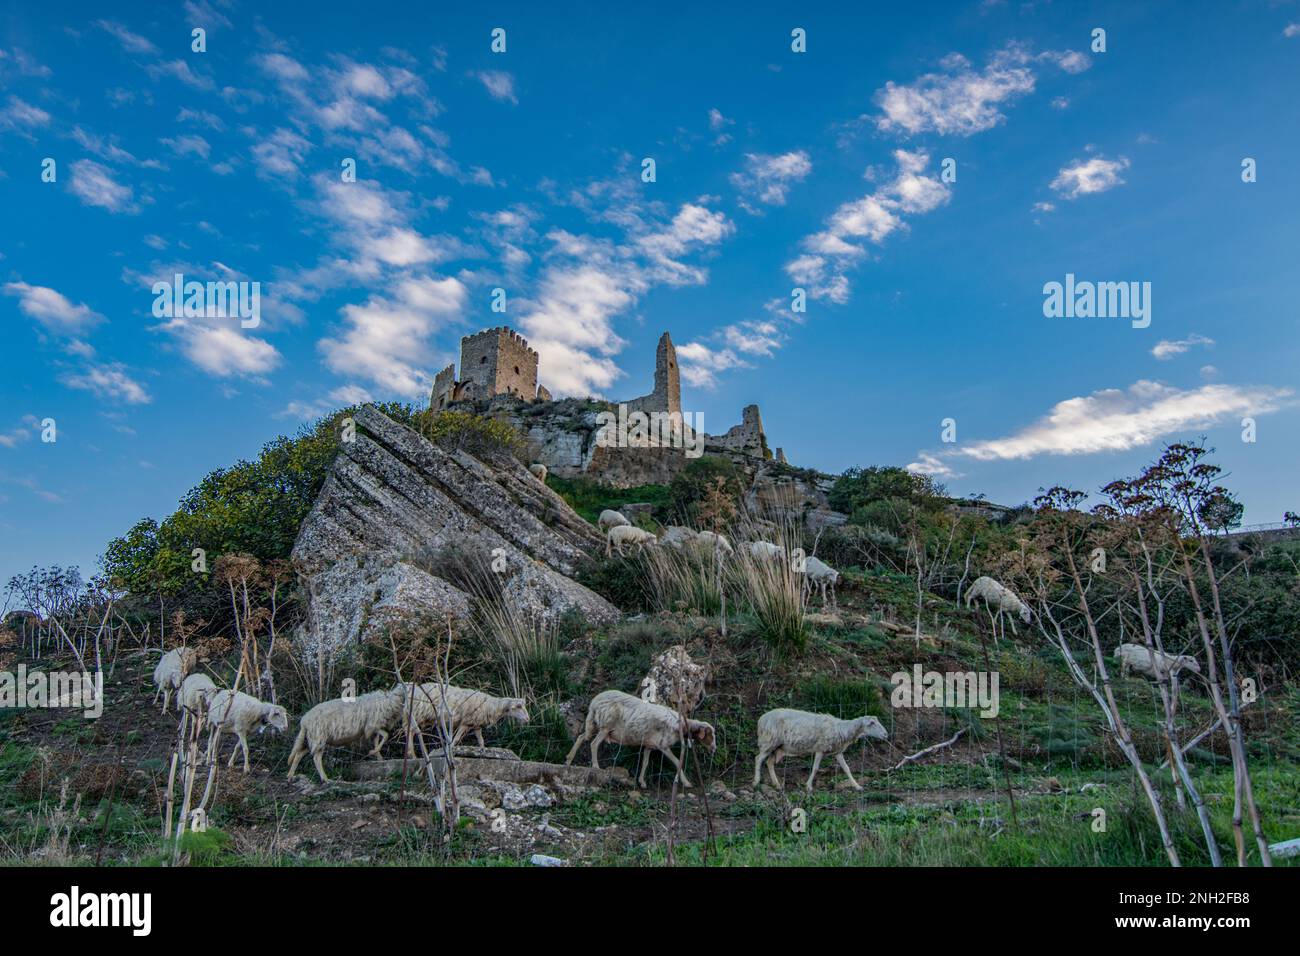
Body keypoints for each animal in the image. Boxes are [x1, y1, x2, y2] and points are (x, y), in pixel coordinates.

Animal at [396, 683, 529, 756]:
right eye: (518, 707)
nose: (528, 719)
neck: (491, 706)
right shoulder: (466, 722)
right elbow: (456, 739)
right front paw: (450, 750)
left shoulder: (475, 724)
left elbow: (481, 741)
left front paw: (483, 750)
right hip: (417, 713)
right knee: (410, 730)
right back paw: (412, 754)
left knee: (410, 730)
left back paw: (410, 753)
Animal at [565, 690, 716, 788]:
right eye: (710, 735)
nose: (714, 749)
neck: (680, 726)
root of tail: (594, 702)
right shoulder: (663, 745)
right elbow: (677, 761)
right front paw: (686, 782)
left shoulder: (649, 744)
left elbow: (645, 762)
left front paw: (642, 781)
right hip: (605, 727)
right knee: (594, 744)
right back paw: (596, 767)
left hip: (593, 724)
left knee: (581, 737)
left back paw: (568, 760)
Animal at [753, 708, 888, 792]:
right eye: (872, 723)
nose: (886, 734)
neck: (842, 729)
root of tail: (761, 719)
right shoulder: (820, 748)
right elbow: (815, 768)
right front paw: (808, 787)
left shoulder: (837, 752)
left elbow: (847, 768)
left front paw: (857, 786)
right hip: (769, 741)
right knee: (758, 759)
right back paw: (756, 782)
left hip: (777, 747)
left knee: (769, 763)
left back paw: (777, 785)